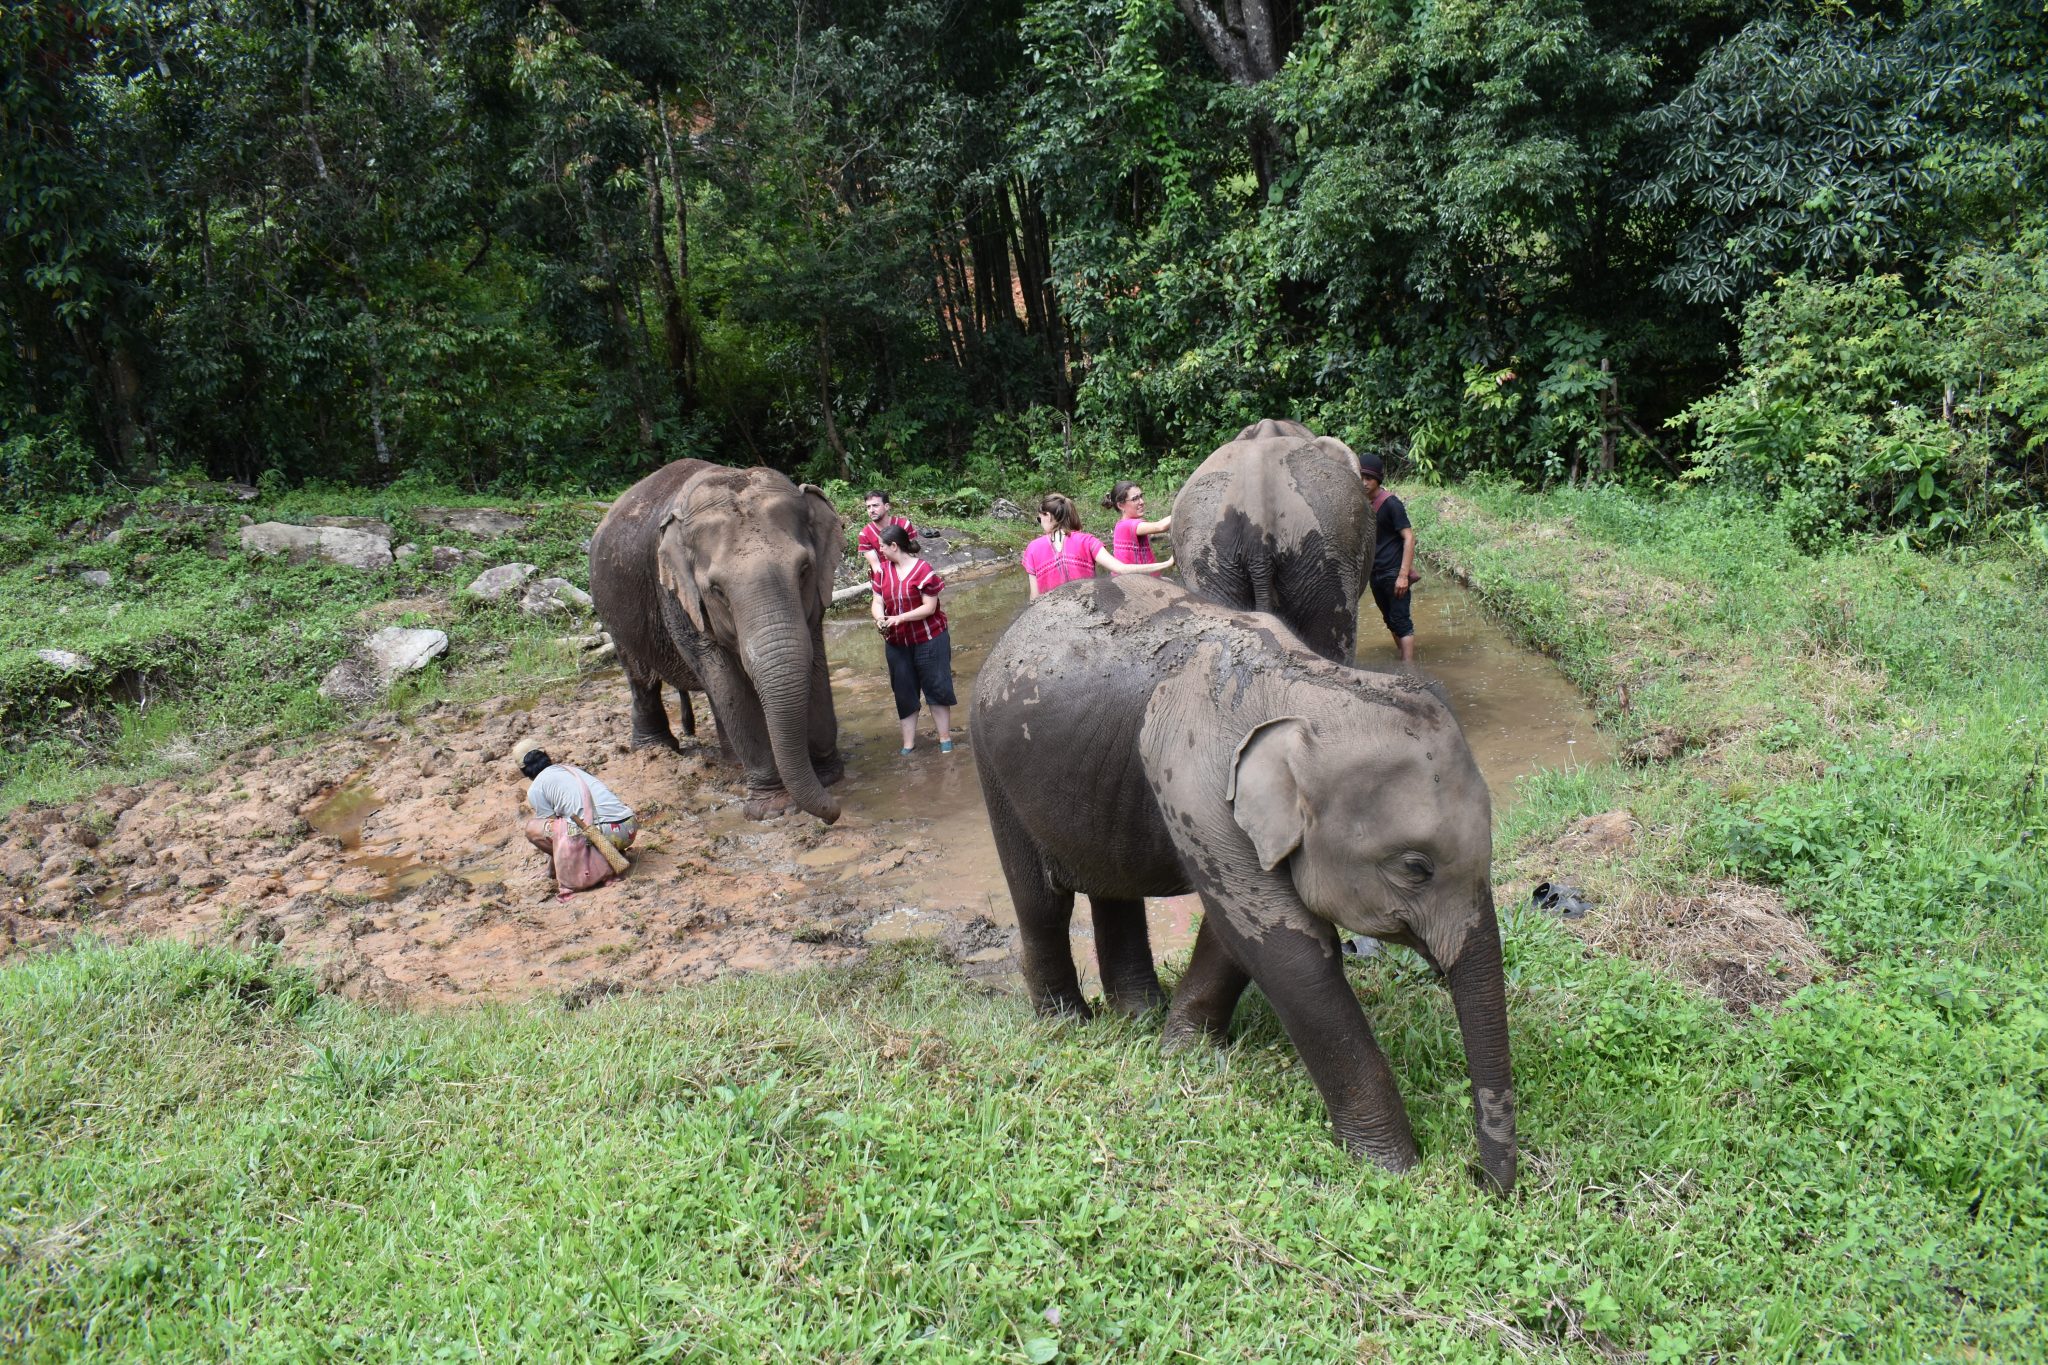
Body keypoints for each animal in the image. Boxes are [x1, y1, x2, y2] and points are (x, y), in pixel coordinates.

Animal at [590, 460, 846, 823]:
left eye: (804, 570)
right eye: (717, 590)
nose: (833, 814)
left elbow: (814, 661)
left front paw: (829, 775)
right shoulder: (679, 601)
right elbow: (731, 686)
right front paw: (773, 809)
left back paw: (731, 760)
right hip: (614, 614)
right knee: (643, 679)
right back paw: (655, 751)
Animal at [971, 575, 1514, 1189]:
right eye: (1415, 868)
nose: (1478, 1181)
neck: (1305, 688)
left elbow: (1236, 932)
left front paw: (1183, 1052)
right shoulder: (1194, 784)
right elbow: (1288, 949)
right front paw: (1391, 1169)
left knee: (1114, 889)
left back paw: (1138, 1015)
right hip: (994, 767)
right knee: (1043, 902)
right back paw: (1069, 1027)